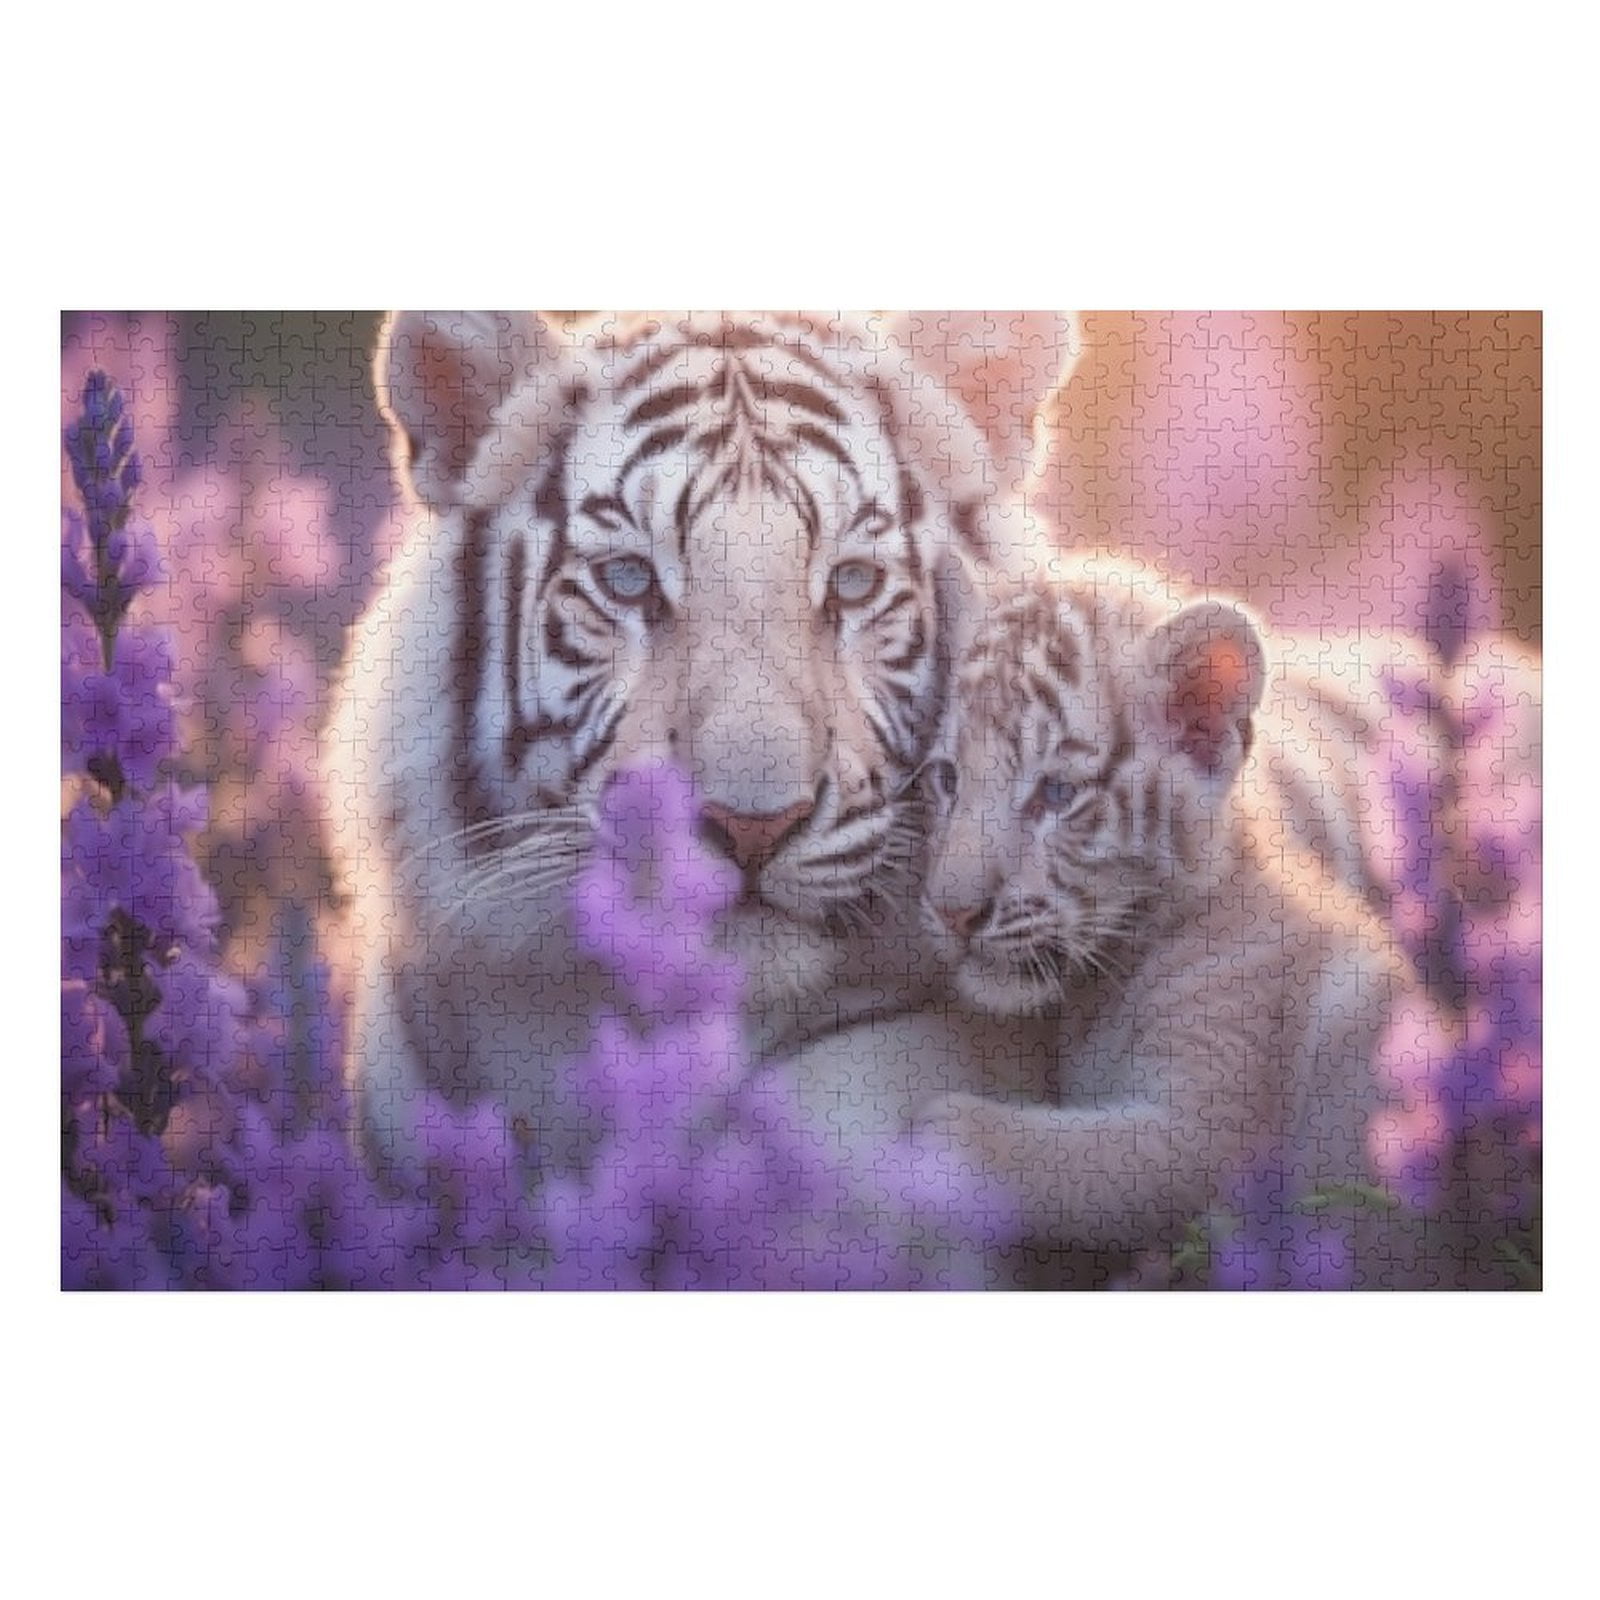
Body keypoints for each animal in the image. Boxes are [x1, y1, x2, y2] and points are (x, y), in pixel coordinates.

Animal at [789, 555, 1406, 1265]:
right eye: (948, 778)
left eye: (1058, 793)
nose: (952, 912)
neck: (1109, 982)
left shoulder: (1209, 1126)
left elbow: (1058, 1157)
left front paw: (922, 1153)